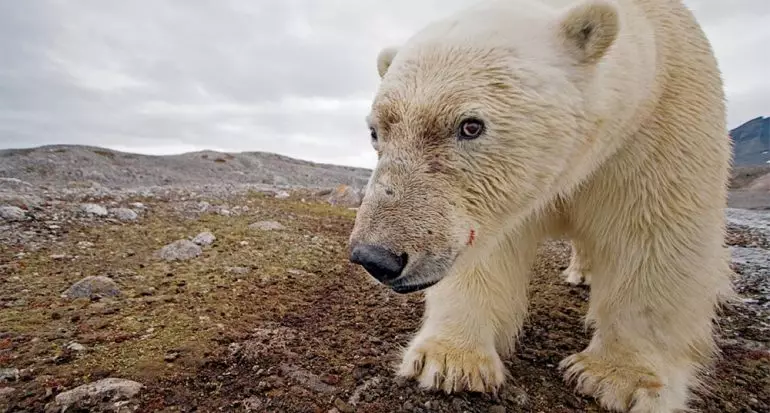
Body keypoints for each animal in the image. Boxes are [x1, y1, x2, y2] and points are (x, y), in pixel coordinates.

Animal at [348, 0, 732, 410]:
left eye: (470, 125)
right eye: (376, 131)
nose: (375, 256)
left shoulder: (660, 124)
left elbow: (654, 237)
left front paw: (620, 379)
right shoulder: (498, 200)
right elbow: (490, 249)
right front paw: (450, 360)